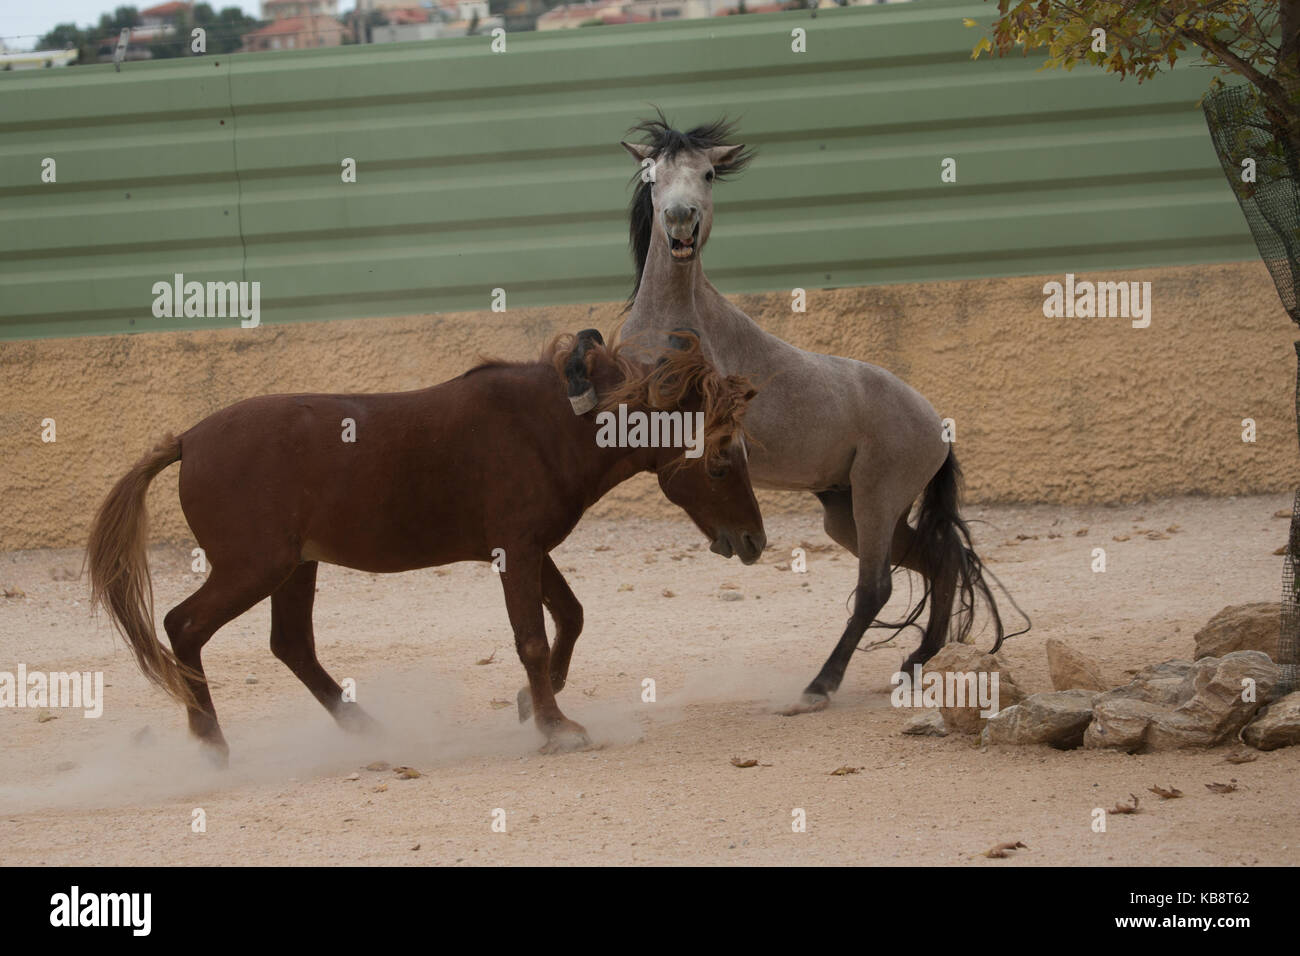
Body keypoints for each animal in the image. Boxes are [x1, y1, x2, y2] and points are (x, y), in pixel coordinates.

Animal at [87, 329, 765, 762]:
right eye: (719, 464)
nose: (755, 542)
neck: (552, 424)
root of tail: (188, 441)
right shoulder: (517, 550)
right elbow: (532, 639)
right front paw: (555, 726)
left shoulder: (528, 548)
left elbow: (569, 616)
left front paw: (532, 704)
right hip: (254, 567)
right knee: (185, 626)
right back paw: (212, 746)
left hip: (294, 567)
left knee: (292, 645)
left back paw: (367, 730)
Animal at [614, 114, 1012, 715]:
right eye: (652, 175)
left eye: (708, 174)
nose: (681, 219)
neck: (671, 324)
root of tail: (936, 423)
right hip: (847, 512)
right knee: (940, 559)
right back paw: (915, 667)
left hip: (875, 499)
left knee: (878, 588)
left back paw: (818, 688)